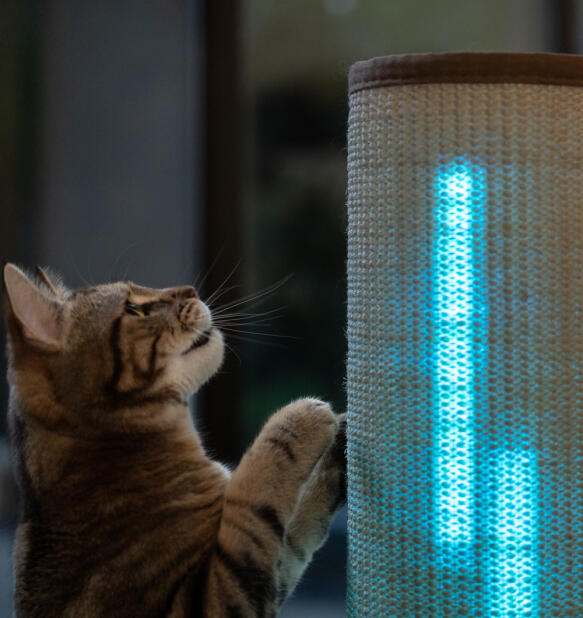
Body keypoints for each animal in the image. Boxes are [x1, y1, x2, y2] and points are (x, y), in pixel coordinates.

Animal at [3, 262, 346, 612]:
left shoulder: (276, 564)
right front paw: (298, 418)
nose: (191, 290)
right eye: (133, 309)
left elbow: (295, 528)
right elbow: (252, 498)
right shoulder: (211, 596)